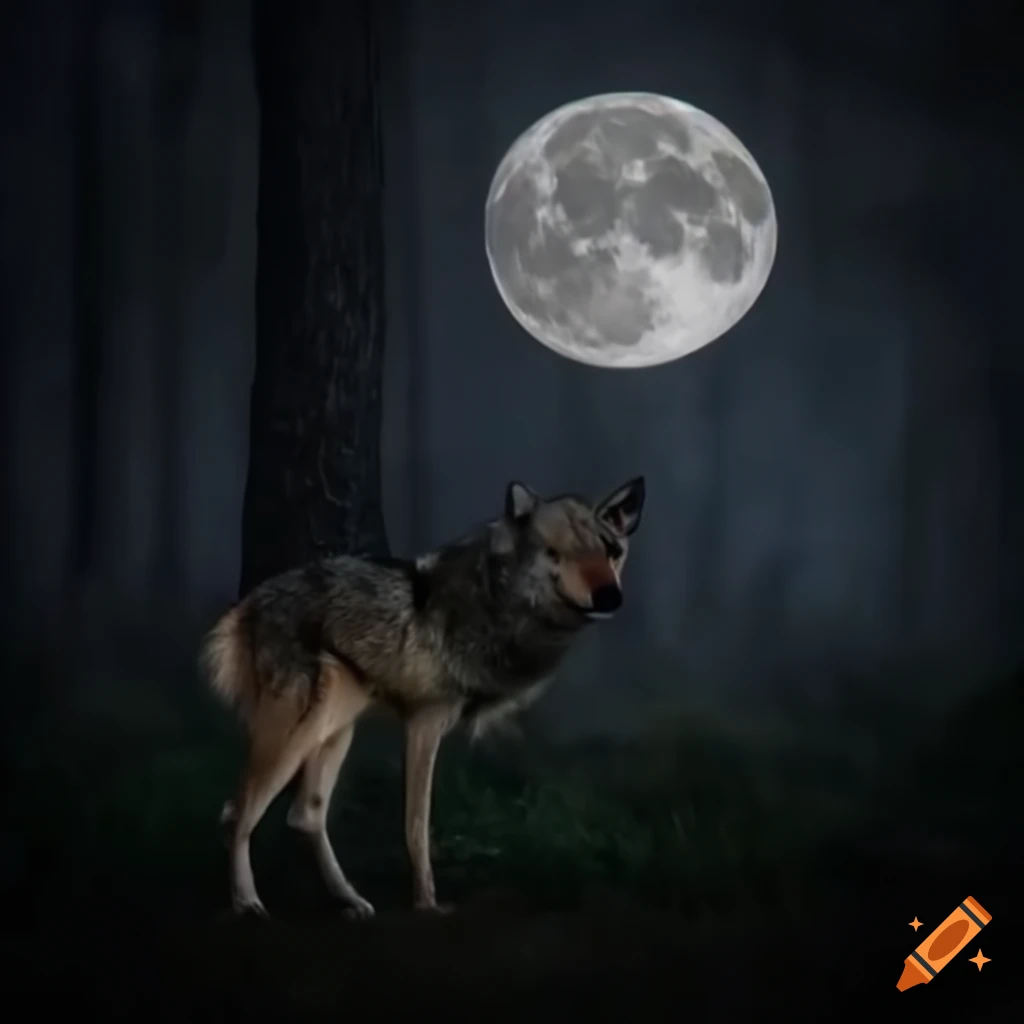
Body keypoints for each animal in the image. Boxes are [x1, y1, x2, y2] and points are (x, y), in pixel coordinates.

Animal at [202, 475, 645, 917]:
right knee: (236, 812)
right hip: (297, 734)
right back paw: (247, 903)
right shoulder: (424, 723)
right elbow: (416, 827)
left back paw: (353, 900)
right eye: (557, 552)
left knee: (303, 815)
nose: (610, 595)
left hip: (335, 730)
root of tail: (247, 605)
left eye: (611, 551)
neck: (496, 604)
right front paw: (427, 905)